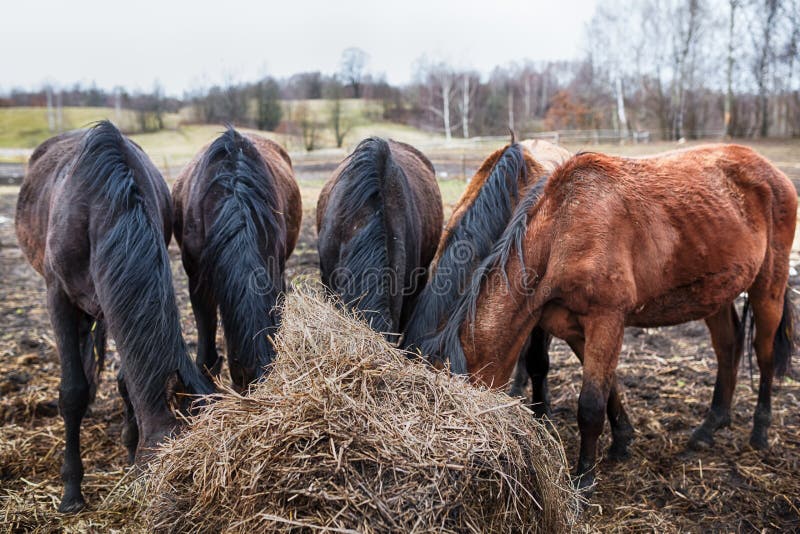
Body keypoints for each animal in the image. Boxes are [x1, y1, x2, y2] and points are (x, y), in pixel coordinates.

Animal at [15, 121, 214, 512]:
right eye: (178, 476)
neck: (100, 203)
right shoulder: (57, 298)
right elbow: (72, 391)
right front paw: (71, 492)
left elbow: (125, 382)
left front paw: (130, 452)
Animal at [424, 144, 796, 491]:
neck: (562, 230)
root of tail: (771, 172)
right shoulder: (573, 327)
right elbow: (608, 388)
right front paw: (622, 440)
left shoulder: (606, 319)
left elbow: (590, 405)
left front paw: (584, 479)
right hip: (715, 294)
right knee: (727, 348)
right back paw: (710, 426)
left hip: (768, 288)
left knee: (763, 355)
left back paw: (760, 431)